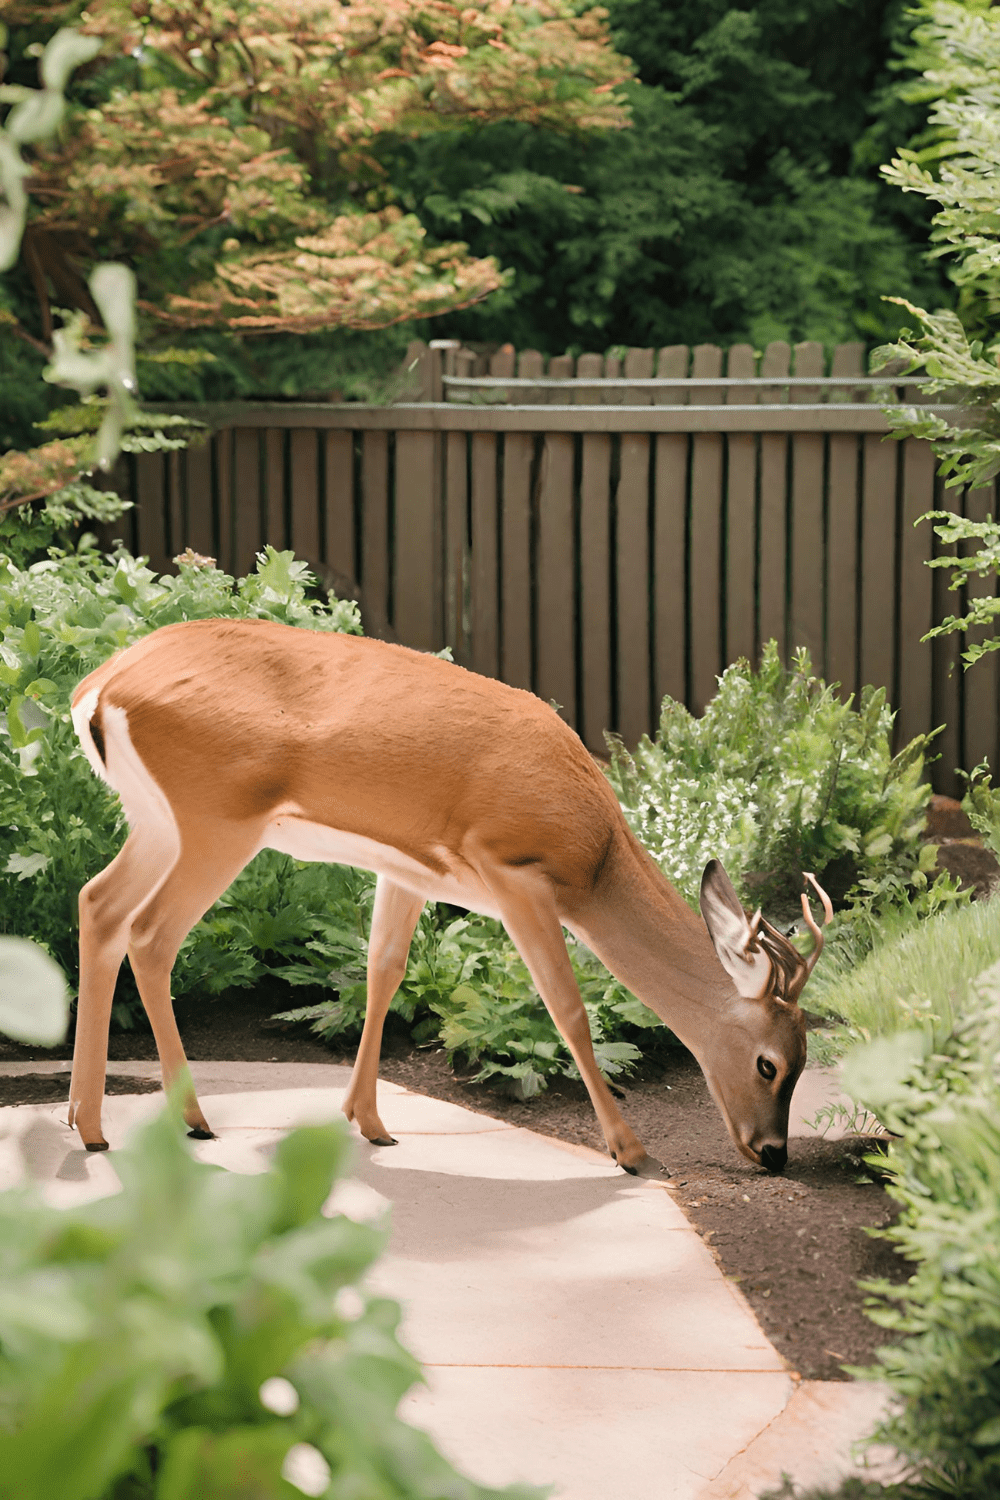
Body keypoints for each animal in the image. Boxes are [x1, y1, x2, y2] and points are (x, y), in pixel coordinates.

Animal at [67, 617, 831, 1171]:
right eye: (769, 1063)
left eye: (802, 1061)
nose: (773, 1153)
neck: (595, 857)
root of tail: (98, 688)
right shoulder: (514, 868)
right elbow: (568, 1009)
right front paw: (632, 1152)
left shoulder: (408, 869)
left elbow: (383, 970)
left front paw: (369, 1122)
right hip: (216, 818)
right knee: (151, 934)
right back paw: (188, 1119)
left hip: (156, 821)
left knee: (98, 903)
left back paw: (87, 1122)